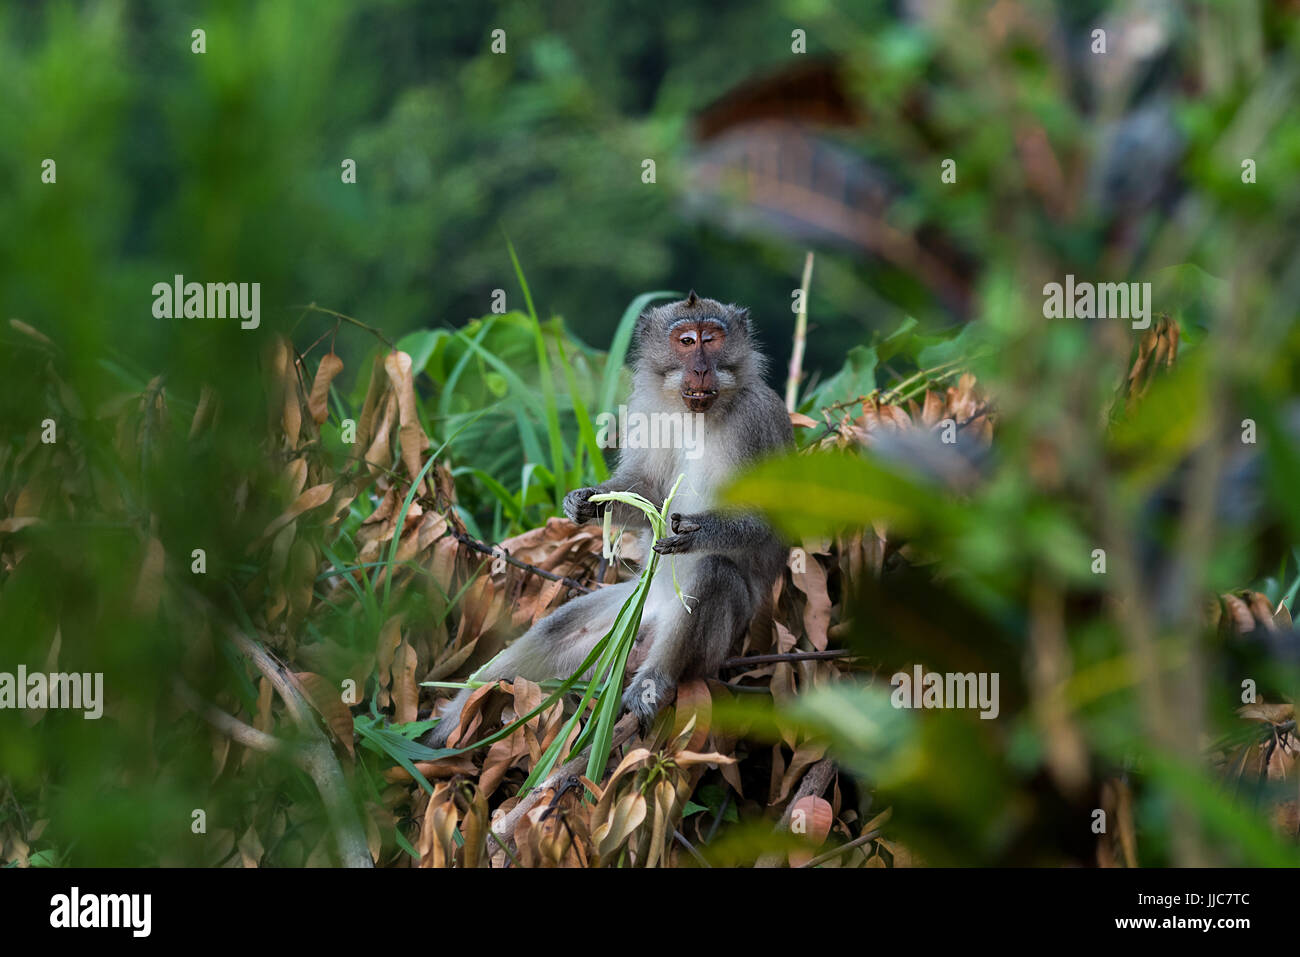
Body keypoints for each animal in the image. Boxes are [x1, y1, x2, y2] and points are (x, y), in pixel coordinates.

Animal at [424, 291, 793, 747]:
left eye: (712, 338)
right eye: (687, 341)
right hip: (630, 609)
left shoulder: (755, 423)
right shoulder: (647, 409)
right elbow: (648, 487)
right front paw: (588, 502)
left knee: (714, 574)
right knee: (555, 630)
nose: (701, 367)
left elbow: (767, 519)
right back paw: (451, 720)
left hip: (717, 642)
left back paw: (654, 682)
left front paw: (694, 532)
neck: (700, 411)